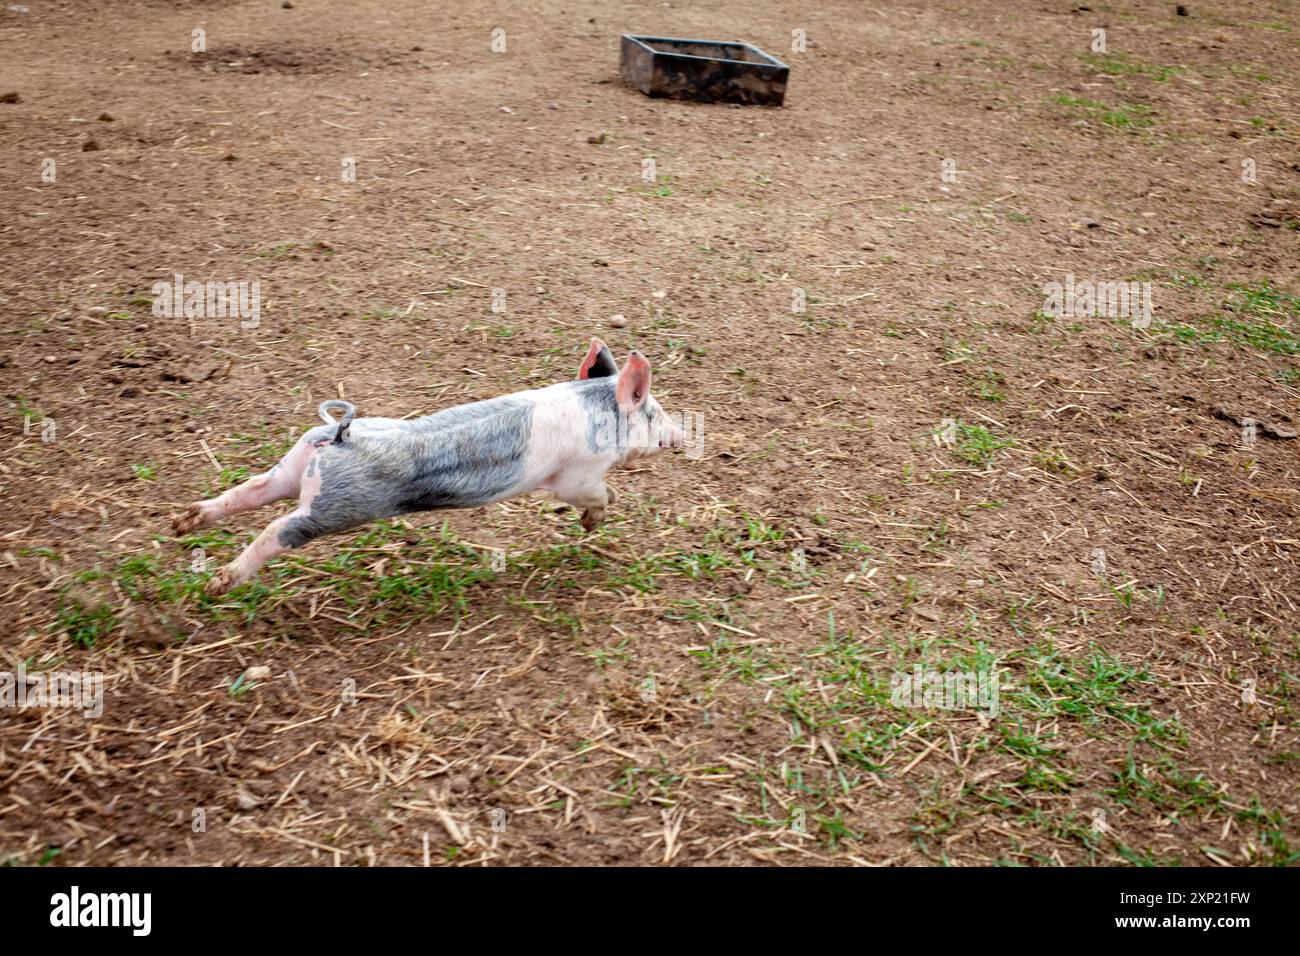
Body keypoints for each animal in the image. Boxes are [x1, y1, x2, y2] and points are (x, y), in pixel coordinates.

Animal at [173, 339, 685, 596]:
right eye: (654, 412)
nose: (680, 433)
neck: (594, 407)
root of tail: (341, 435)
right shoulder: (574, 476)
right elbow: (596, 494)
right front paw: (596, 518)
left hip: (293, 467)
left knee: (251, 489)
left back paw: (183, 522)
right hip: (331, 509)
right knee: (276, 530)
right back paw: (218, 583)